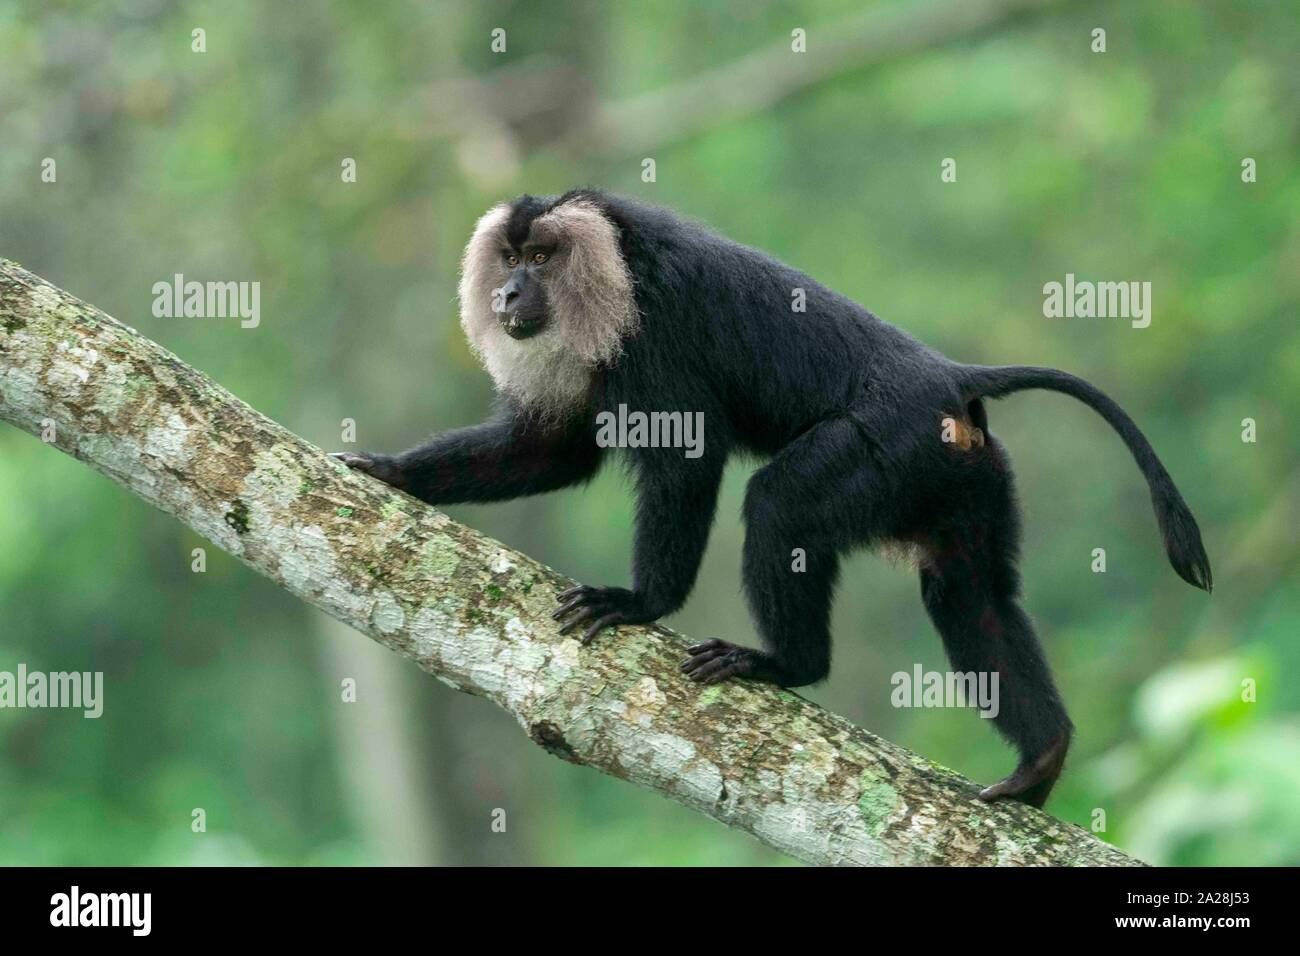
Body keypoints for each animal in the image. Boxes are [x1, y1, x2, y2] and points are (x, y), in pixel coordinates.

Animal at [333, 189, 1211, 807]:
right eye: (512, 256)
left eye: (543, 258)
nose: (509, 295)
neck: (617, 267)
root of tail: (948, 376)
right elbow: (553, 451)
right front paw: (393, 472)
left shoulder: (657, 335)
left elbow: (687, 463)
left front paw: (642, 603)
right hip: (962, 472)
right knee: (969, 589)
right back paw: (1042, 756)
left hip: (890, 444)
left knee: (781, 506)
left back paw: (788, 665)